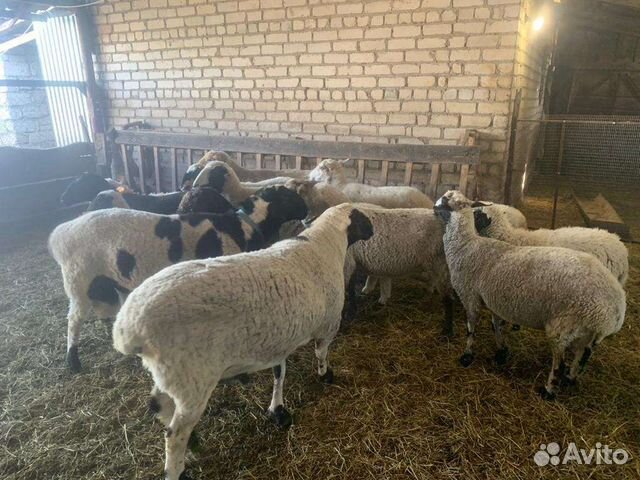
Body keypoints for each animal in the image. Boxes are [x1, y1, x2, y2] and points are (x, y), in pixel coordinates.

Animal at [49, 185, 308, 372]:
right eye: (289, 198)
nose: (307, 212)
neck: (243, 227)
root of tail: (61, 232)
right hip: (78, 279)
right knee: (74, 320)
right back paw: (73, 362)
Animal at [112, 203, 373, 480]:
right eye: (364, 220)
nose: (373, 231)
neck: (324, 242)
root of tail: (128, 328)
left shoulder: (278, 342)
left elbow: (279, 373)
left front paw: (278, 410)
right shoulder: (329, 324)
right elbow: (321, 354)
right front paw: (325, 375)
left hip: (170, 376)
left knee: (159, 406)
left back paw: (194, 444)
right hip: (193, 381)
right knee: (174, 433)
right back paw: (177, 469)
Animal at [433, 206, 626, 400]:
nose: (435, 209)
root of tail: (616, 309)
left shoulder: (471, 296)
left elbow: (472, 330)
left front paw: (467, 355)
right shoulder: (494, 298)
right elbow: (496, 325)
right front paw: (501, 351)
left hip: (563, 327)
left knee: (560, 364)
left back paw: (548, 391)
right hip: (585, 330)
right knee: (582, 354)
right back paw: (570, 379)